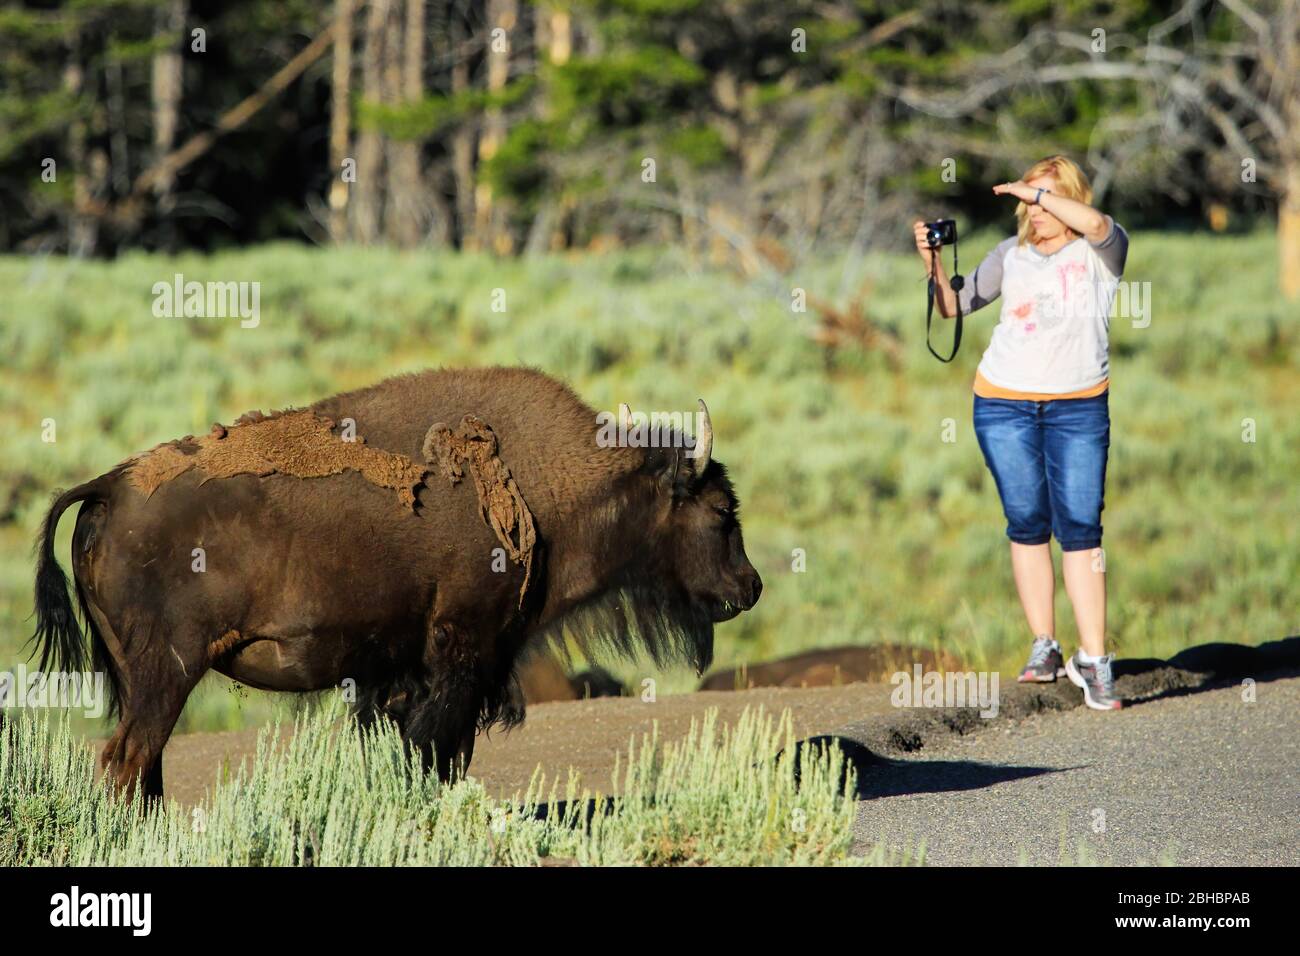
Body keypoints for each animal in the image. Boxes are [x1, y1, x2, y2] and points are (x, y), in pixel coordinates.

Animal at [31, 367, 762, 797]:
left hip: (137, 682)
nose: (749, 587)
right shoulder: (462, 661)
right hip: (167, 674)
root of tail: (106, 487)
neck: (551, 488)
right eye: (721, 513)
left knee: (142, 768)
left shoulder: (415, 674)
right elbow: (436, 754)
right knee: (128, 762)